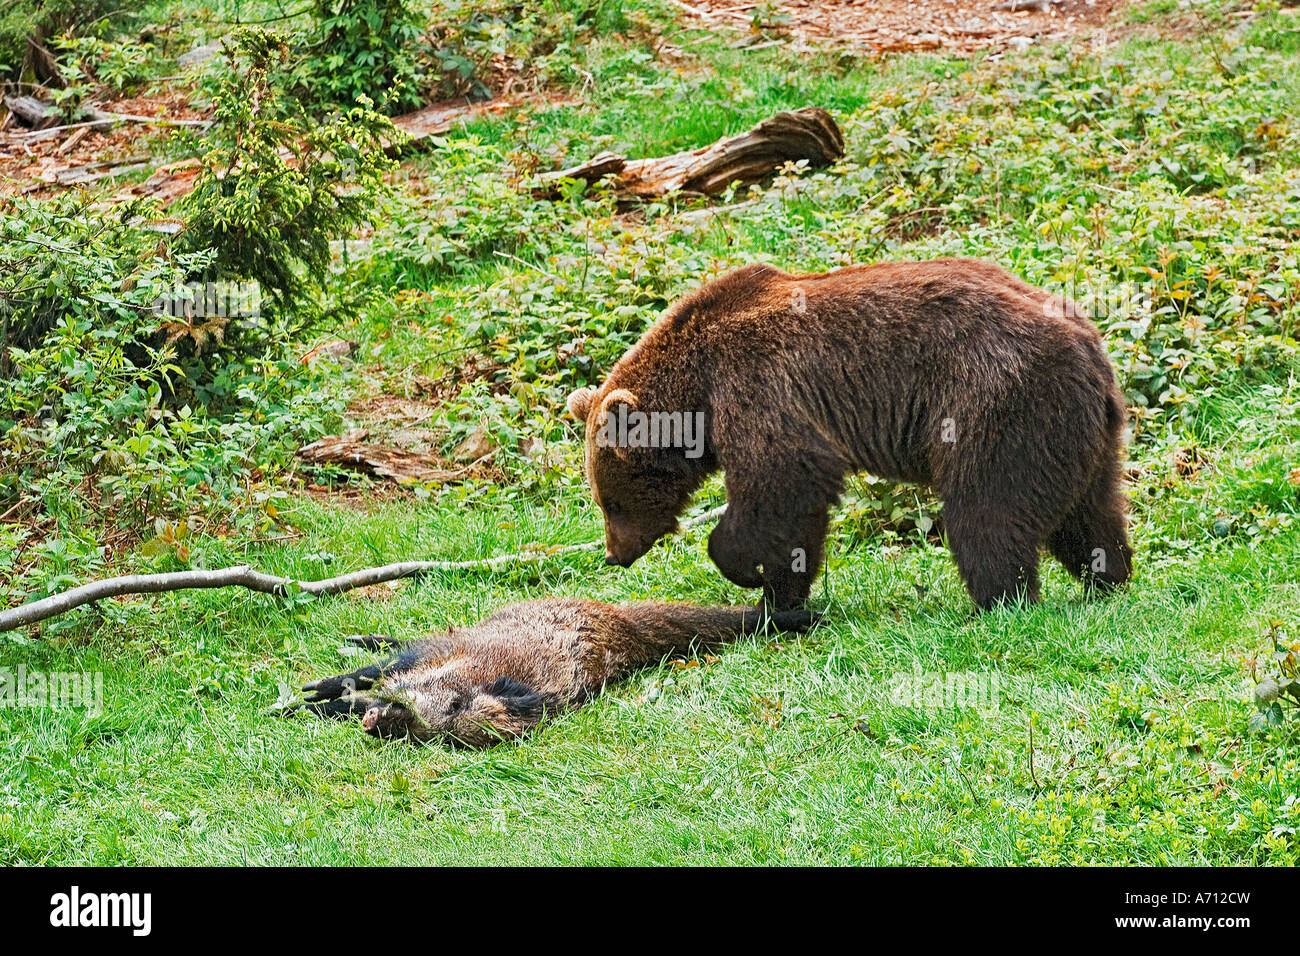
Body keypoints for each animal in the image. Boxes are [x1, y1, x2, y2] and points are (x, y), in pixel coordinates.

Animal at [567, 258, 1132, 611]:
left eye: (609, 500)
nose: (614, 553)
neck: (695, 389)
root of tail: (1089, 345)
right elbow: (798, 518)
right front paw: (780, 596)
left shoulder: (756, 386)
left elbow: (781, 481)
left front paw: (745, 569)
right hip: (1078, 432)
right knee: (1091, 512)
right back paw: (1107, 579)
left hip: (997, 401)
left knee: (986, 509)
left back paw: (999, 601)